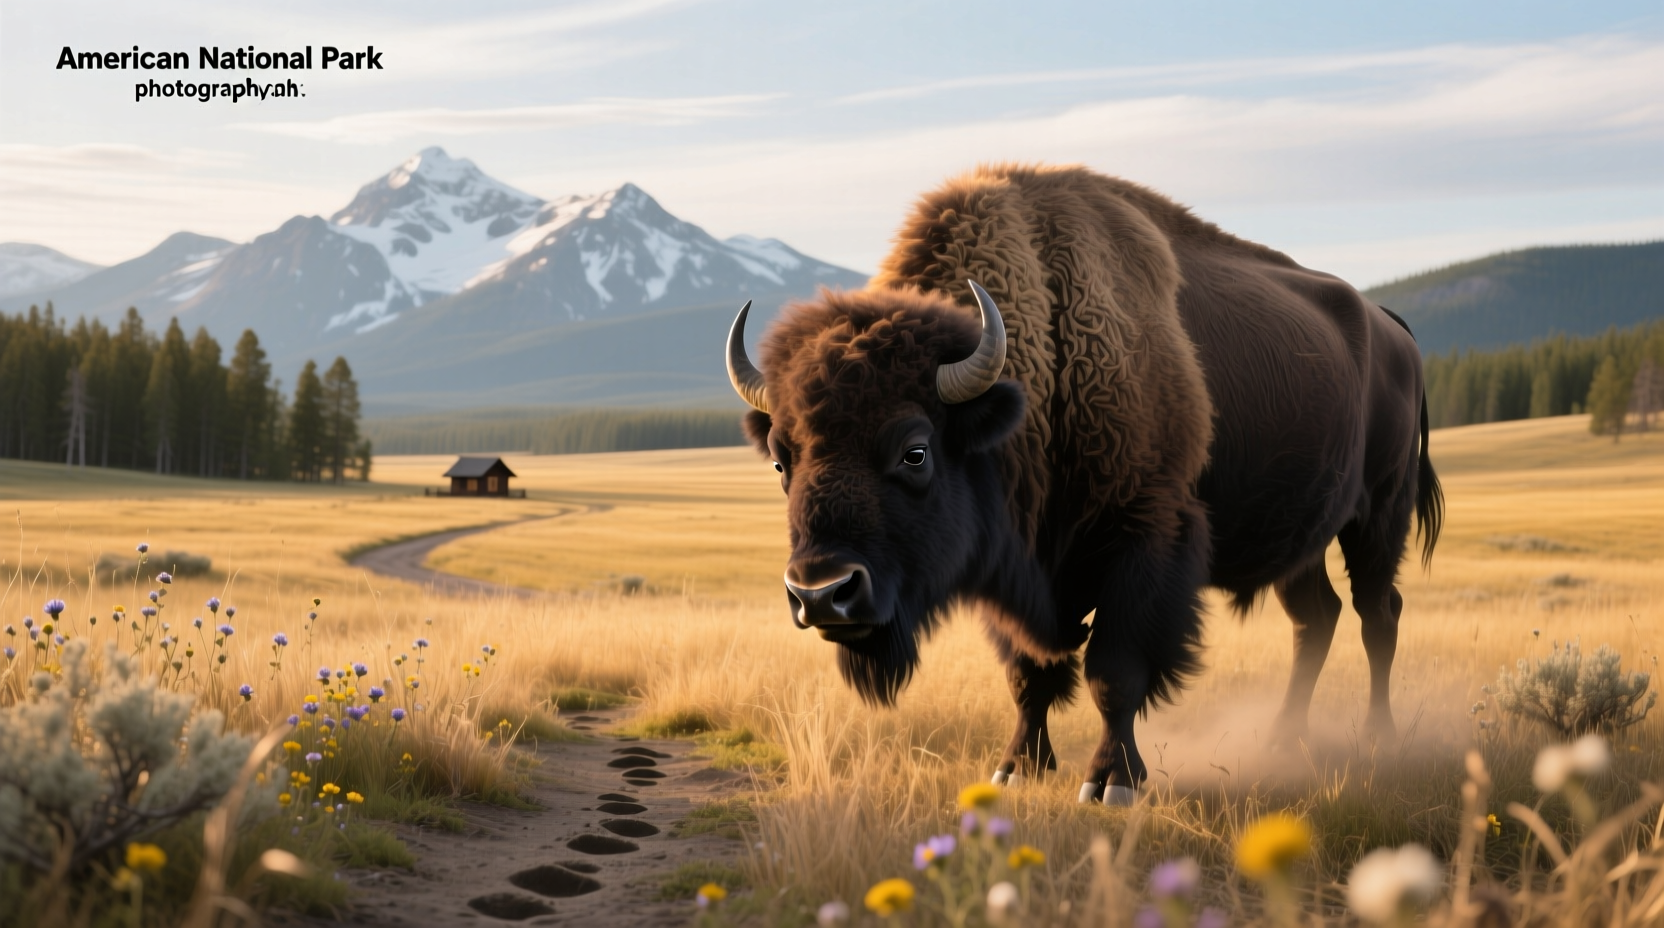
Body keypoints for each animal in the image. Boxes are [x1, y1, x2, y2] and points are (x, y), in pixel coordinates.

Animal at [725, 165, 1441, 803]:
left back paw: (1378, 736)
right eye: (782, 460)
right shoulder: (1019, 573)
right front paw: (1016, 769)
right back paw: (1280, 738)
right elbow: (1029, 675)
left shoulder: (1143, 540)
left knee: (1378, 614)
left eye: (915, 452)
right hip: (1303, 541)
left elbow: (1113, 672)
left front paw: (1111, 782)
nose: (820, 594)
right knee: (1314, 619)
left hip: (1378, 515)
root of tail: (1392, 326)